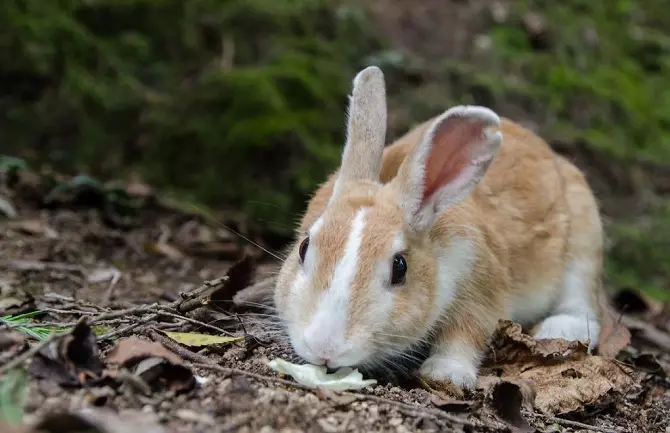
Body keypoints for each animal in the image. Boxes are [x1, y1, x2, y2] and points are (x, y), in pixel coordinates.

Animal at [272, 65, 608, 392]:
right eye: (303, 248)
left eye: (400, 268)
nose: (323, 349)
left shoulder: (482, 285)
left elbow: (466, 333)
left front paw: (445, 375)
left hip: (583, 244)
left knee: (582, 303)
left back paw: (559, 328)